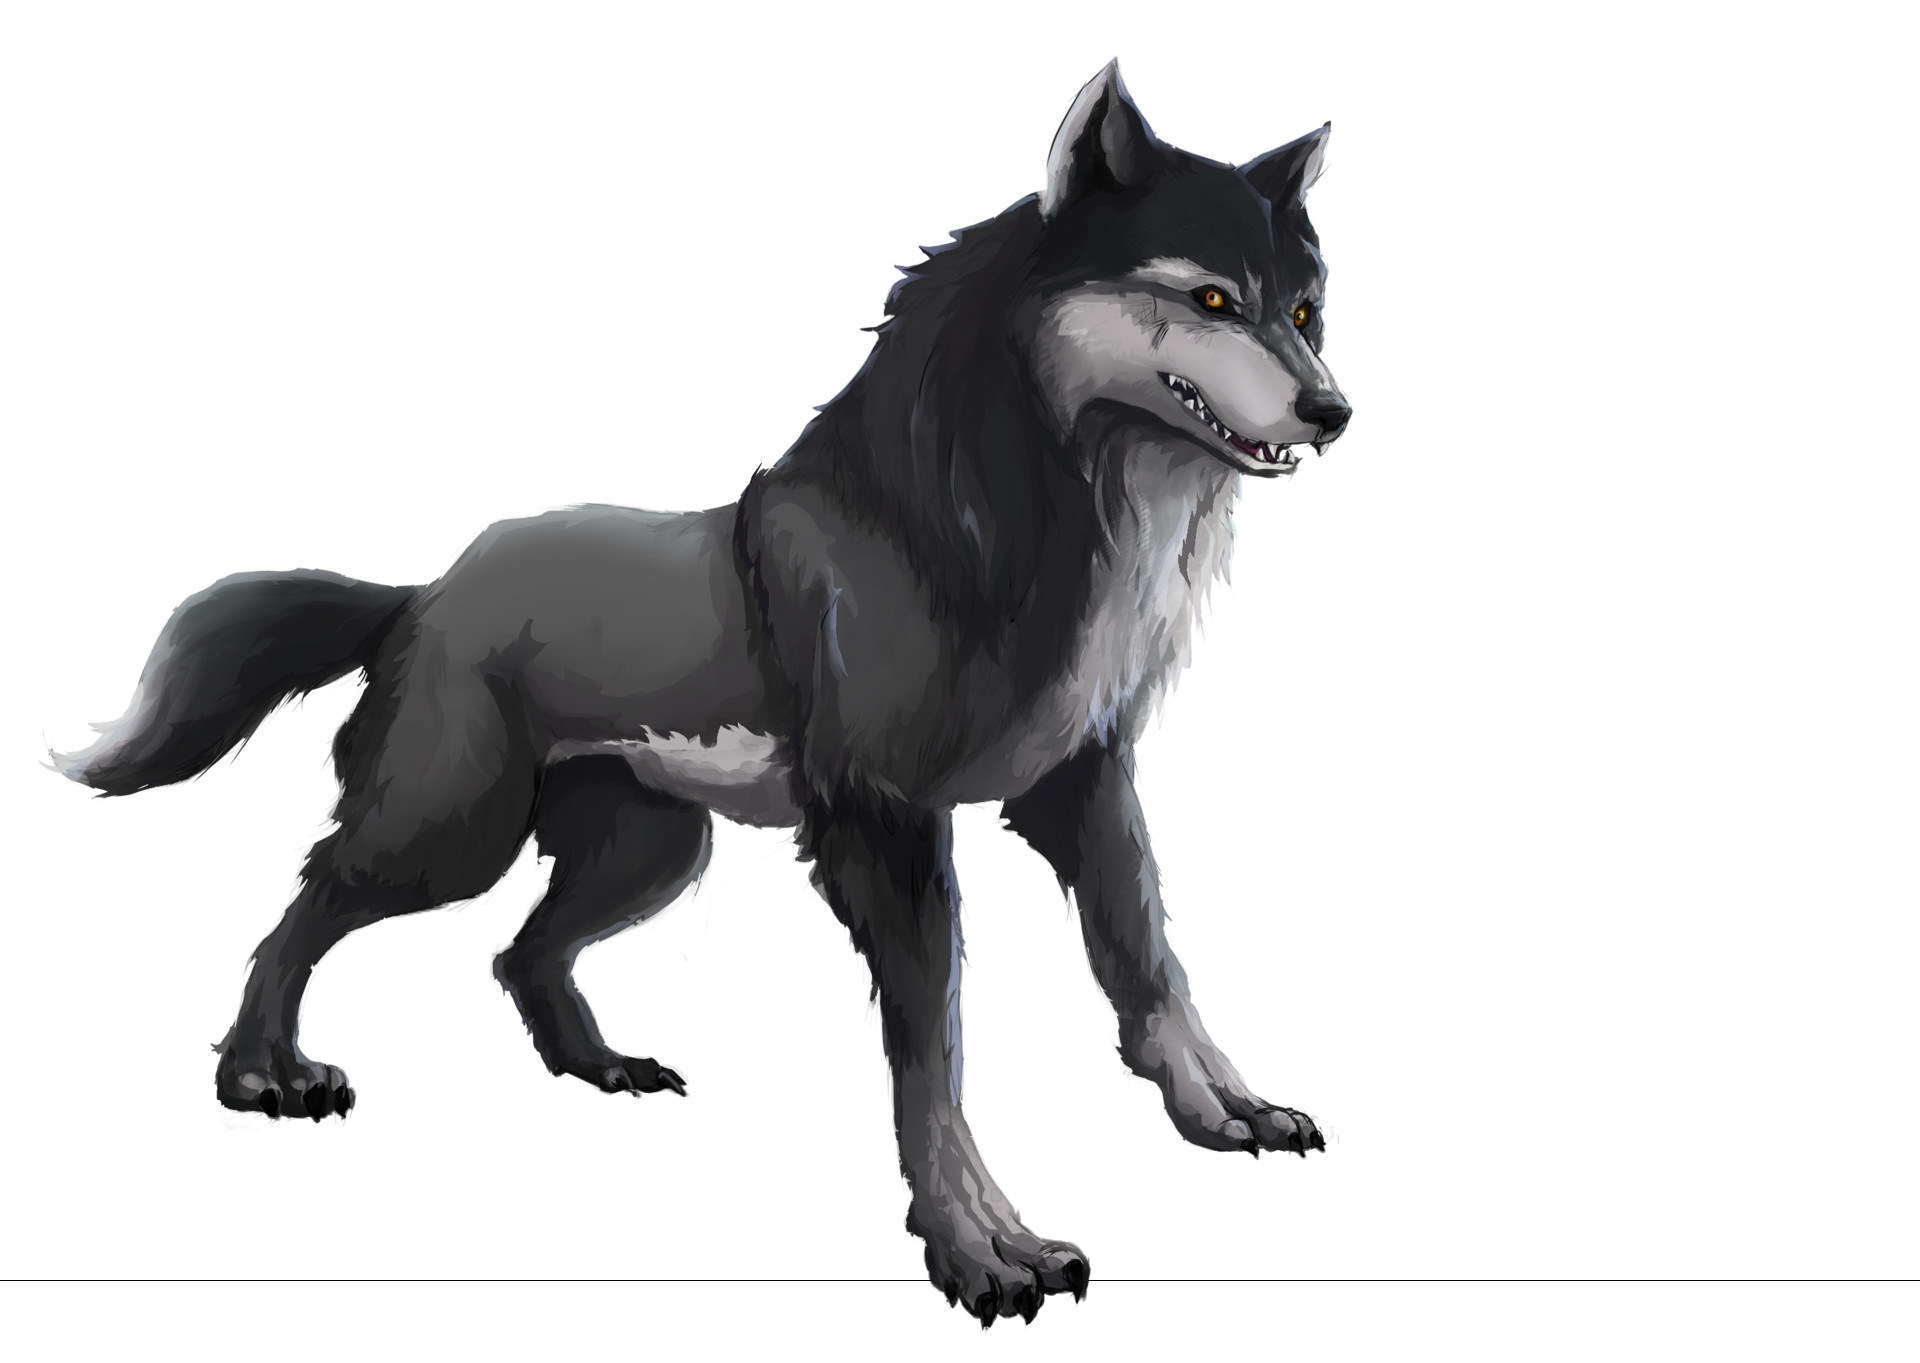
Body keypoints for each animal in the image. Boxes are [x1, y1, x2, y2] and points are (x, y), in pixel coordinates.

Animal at [56, 62, 1350, 1323]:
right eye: (1211, 300)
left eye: (1304, 312)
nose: (1335, 413)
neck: (974, 530)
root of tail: (423, 593)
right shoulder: (888, 826)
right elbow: (932, 1050)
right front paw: (985, 1247)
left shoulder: (1083, 784)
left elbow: (1147, 958)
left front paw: (1227, 1110)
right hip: (450, 828)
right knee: (311, 901)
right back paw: (261, 1072)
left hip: (651, 846)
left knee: (519, 953)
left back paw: (601, 1068)